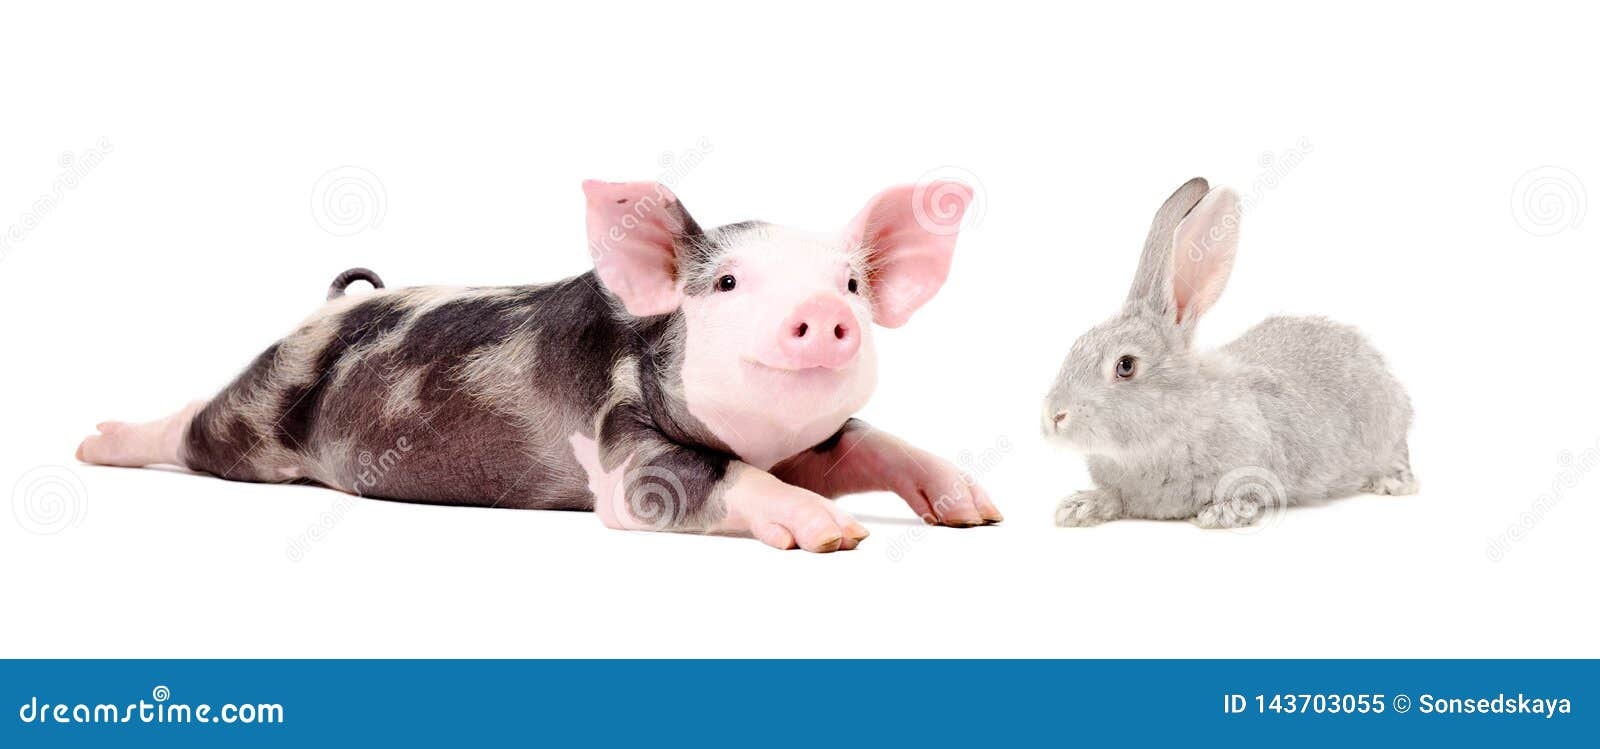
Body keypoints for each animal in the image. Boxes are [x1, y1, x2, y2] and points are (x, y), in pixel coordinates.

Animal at [76, 180, 1002, 552]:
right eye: (728, 284)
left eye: (849, 283)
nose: (825, 314)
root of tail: (327, 309)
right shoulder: (626, 454)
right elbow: (710, 477)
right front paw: (834, 532)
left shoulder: (808, 440)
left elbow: (865, 440)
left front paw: (976, 511)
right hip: (257, 415)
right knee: (193, 427)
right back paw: (94, 443)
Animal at [1041, 177, 1416, 528]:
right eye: (1075, 346)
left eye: (1125, 366)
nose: (1054, 417)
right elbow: (1113, 497)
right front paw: (1078, 507)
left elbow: (1249, 493)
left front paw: (1220, 514)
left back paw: (1395, 482)